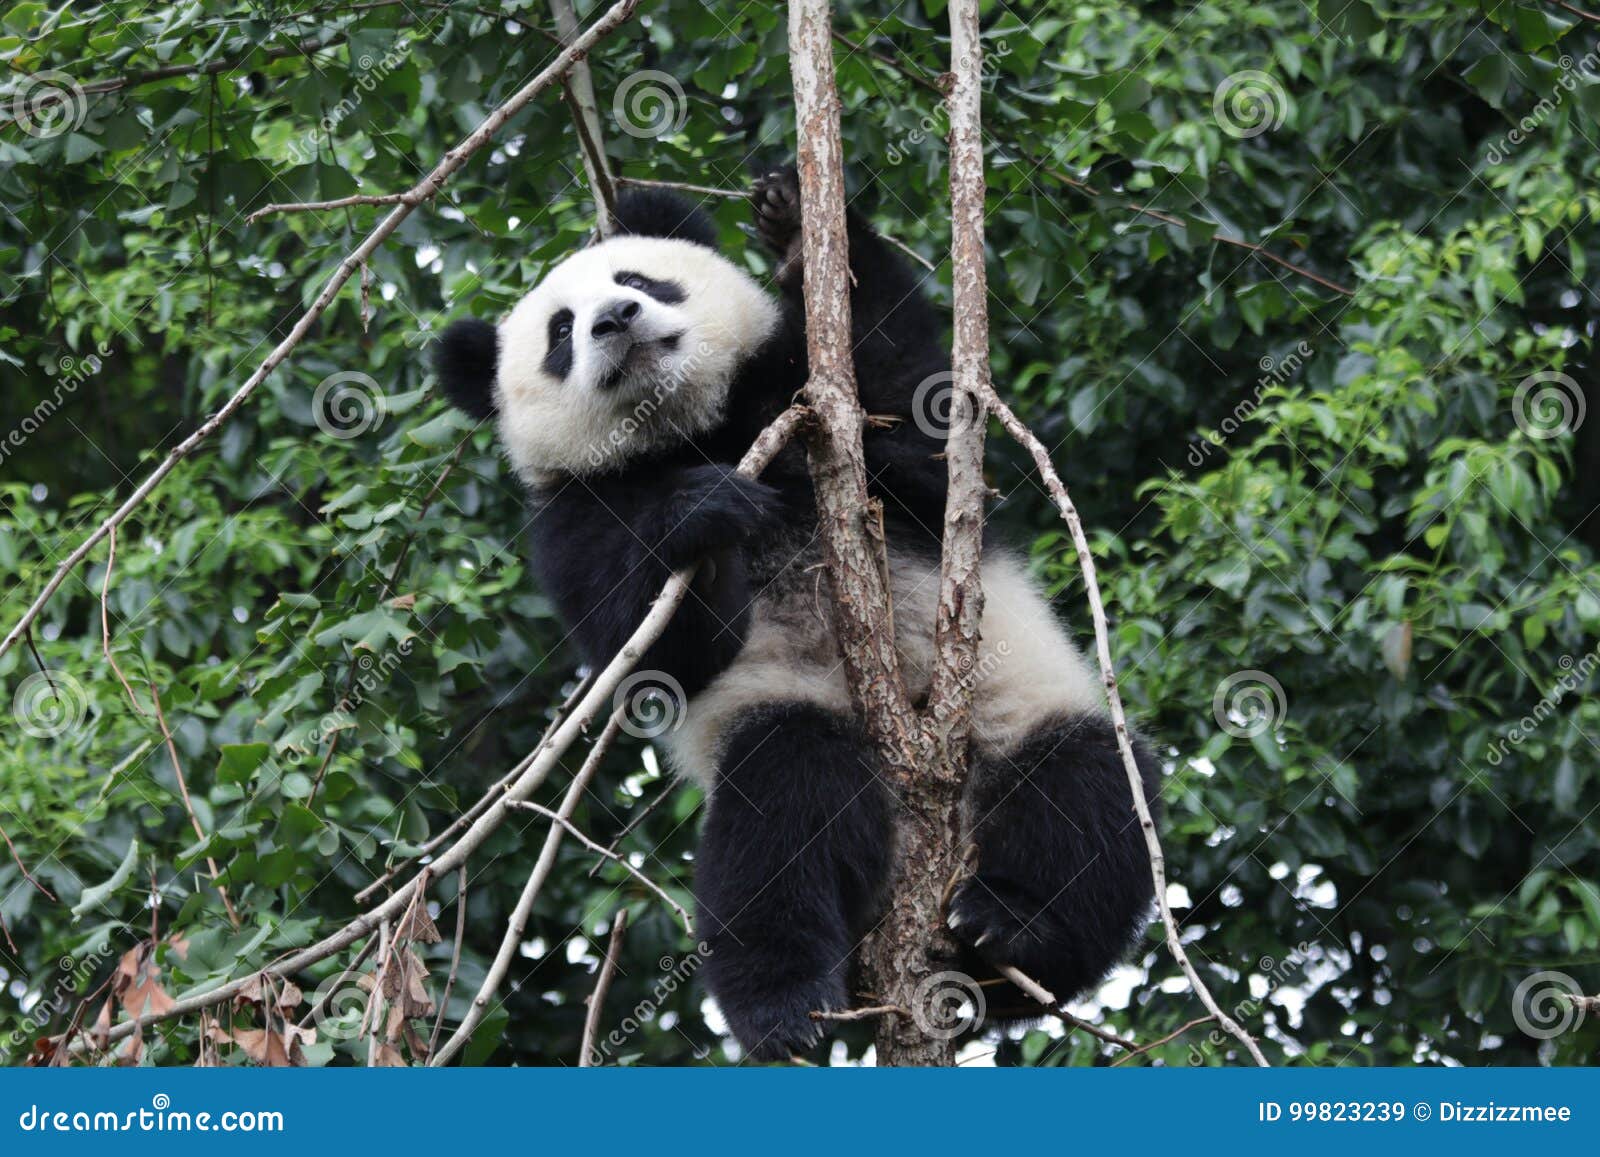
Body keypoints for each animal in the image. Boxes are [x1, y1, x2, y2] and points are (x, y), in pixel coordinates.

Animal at [435, 168, 1162, 1062]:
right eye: (561, 333)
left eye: (640, 280)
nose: (615, 320)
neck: (694, 429)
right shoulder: (572, 515)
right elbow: (655, 652)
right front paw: (700, 516)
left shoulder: (799, 395)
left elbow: (916, 426)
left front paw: (797, 232)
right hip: (789, 725)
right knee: (782, 813)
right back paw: (789, 1009)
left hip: (1016, 717)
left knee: (1087, 787)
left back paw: (1008, 931)